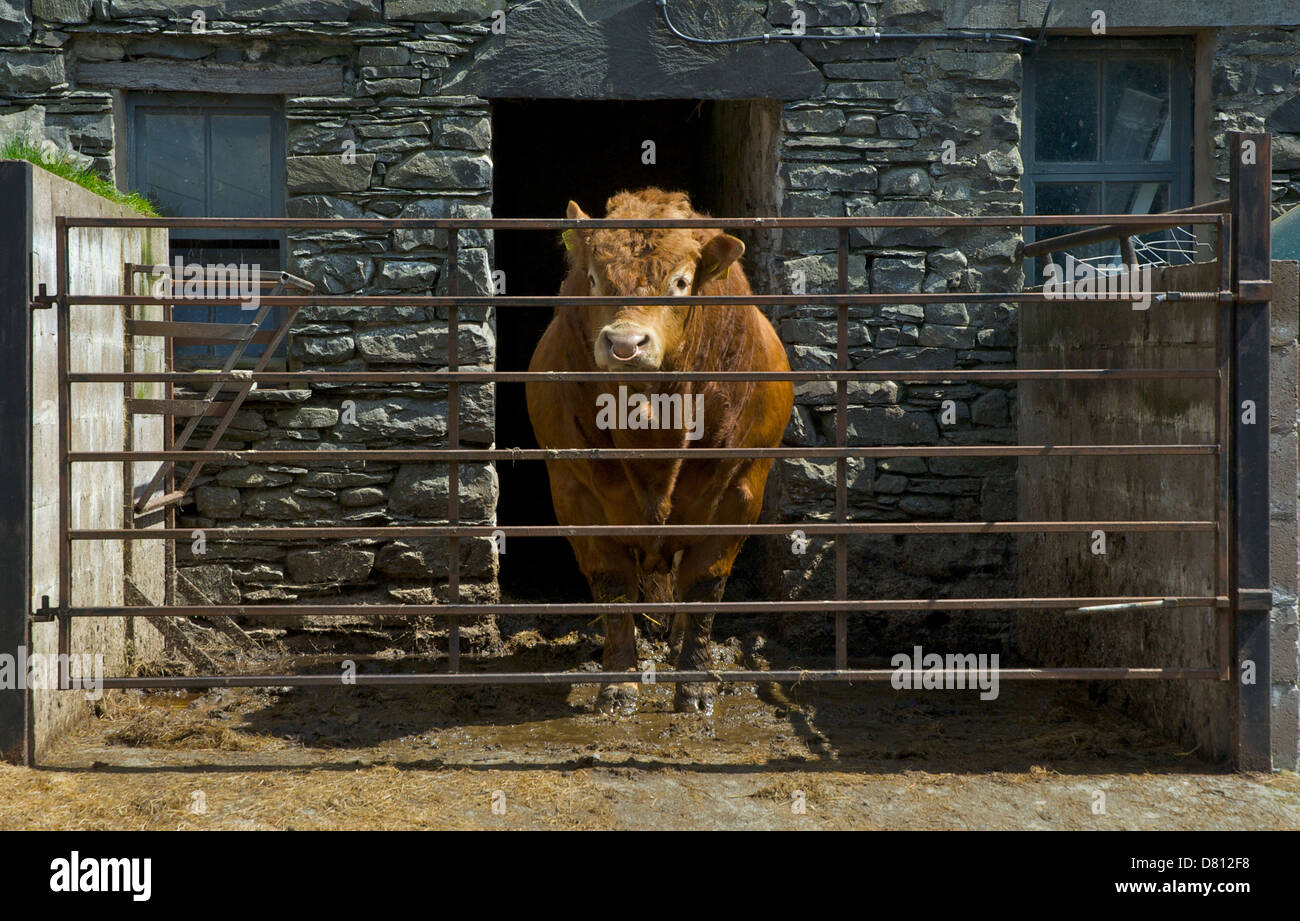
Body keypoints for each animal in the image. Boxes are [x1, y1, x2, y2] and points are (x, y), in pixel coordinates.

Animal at [526, 188, 794, 715]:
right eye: (594, 278)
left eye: (681, 282)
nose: (625, 343)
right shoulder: (574, 493)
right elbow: (612, 587)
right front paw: (618, 685)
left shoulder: (739, 491)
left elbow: (705, 584)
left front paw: (695, 684)